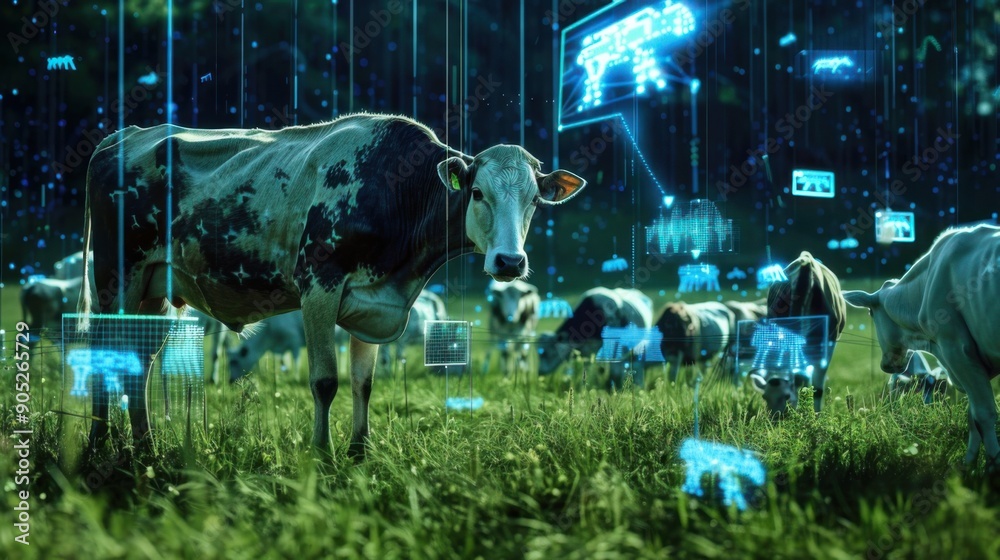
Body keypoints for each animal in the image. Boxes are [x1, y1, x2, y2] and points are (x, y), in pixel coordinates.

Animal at [79, 113, 586, 458]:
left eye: (534, 200)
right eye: (477, 193)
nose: (510, 261)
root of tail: (122, 135)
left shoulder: (374, 303)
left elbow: (364, 382)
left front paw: (360, 451)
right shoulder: (318, 286)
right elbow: (325, 381)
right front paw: (321, 455)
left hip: (155, 290)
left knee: (138, 363)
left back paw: (145, 446)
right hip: (114, 279)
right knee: (103, 355)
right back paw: (98, 444)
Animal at [844, 225, 1000, 468]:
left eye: (870, 313)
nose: (886, 365)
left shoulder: (957, 349)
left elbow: (983, 413)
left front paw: (993, 463)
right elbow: (973, 416)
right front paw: (969, 465)